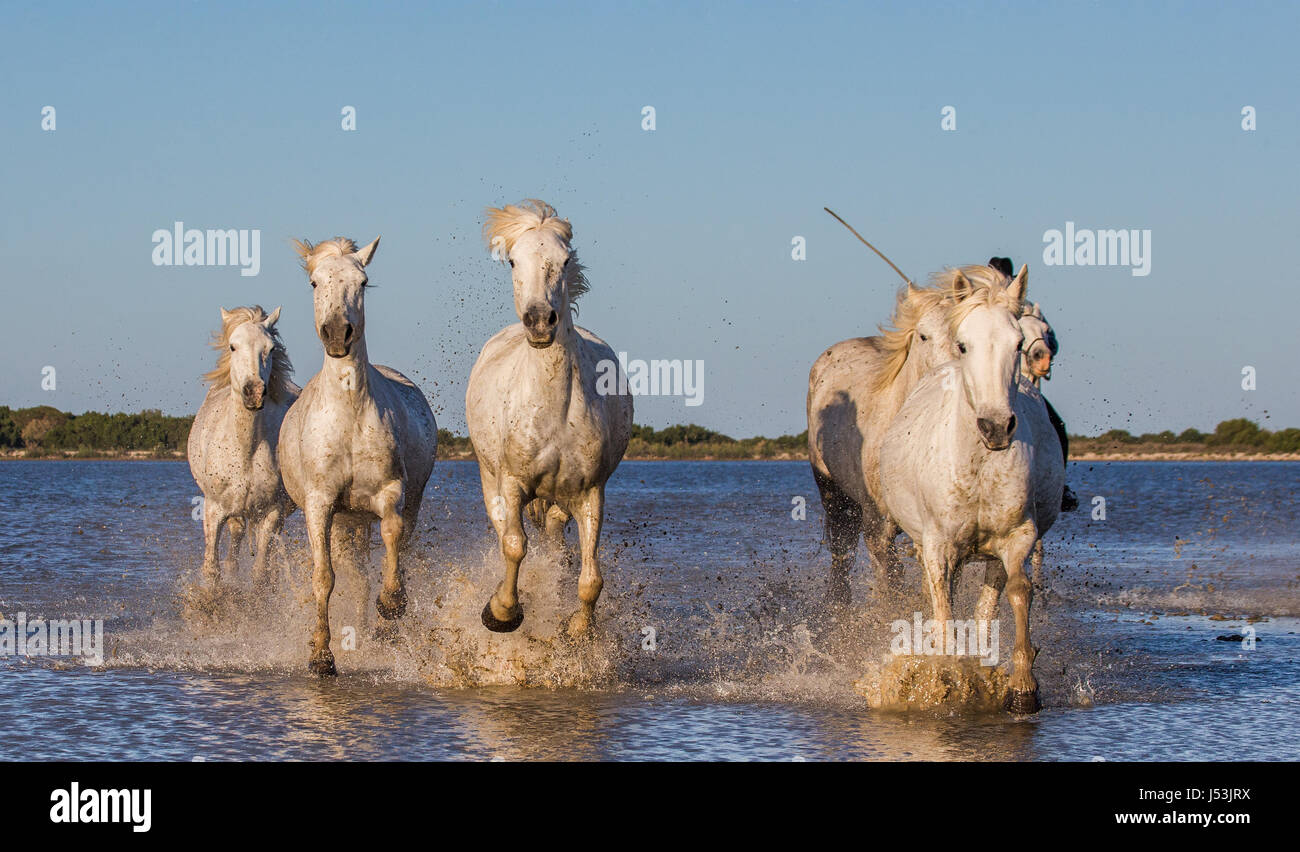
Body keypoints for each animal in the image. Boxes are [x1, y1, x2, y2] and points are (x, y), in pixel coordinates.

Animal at [188, 305, 299, 590]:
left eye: (270, 348)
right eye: (232, 346)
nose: (254, 392)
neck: (245, 448)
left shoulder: (272, 511)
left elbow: (260, 573)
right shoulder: (214, 509)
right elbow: (212, 569)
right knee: (236, 538)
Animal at [278, 237, 438, 676]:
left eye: (362, 282)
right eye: (315, 282)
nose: (338, 334)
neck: (348, 416)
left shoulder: (391, 492)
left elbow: (393, 542)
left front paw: (391, 609)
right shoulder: (321, 505)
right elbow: (324, 578)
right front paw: (321, 658)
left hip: (395, 507)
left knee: (395, 554)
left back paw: (382, 628)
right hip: (346, 522)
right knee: (355, 575)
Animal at [466, 199, 632, 638]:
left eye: (564, 259)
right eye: (512, 261)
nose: (540, 320)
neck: (553, 413)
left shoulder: (591, 492)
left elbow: (591, 579)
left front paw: (577, 632)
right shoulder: (512, 482)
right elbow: (514, 546)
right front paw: (501, 612)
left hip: (561, 499)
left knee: (556, 536)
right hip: (490, 481)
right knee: (507, 531)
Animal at [879, 264, 1063, 713]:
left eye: (1017, 344)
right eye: (964, 345)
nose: (996, 426)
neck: (978, 464)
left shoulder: (1019, 536)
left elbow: (1017, 592)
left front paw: (1023, 687)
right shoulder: (937, 545)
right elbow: (943, 609)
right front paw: (943, 679)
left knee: (985, 608)